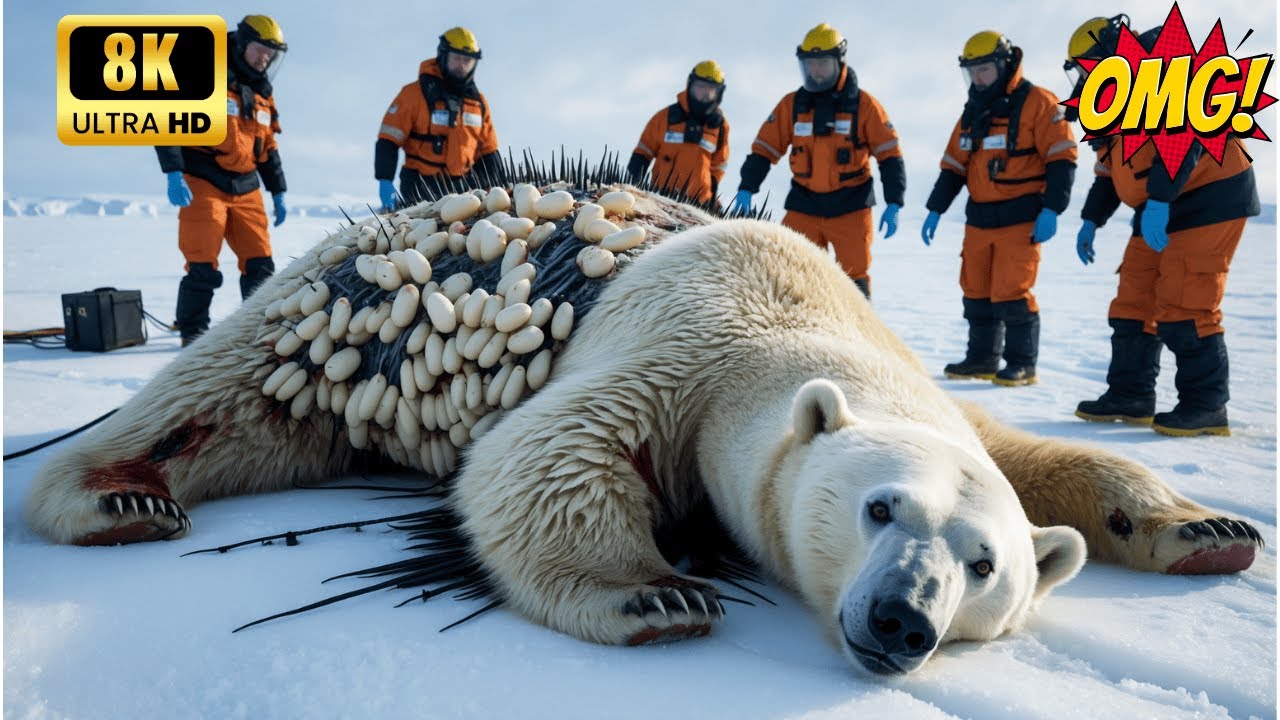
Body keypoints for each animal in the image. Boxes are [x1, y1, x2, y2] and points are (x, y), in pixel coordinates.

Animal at [22, 177, 1263, 677]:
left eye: (982, 563)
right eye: (877, 508)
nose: (900, 620)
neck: (798, 311)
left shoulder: (926, 394)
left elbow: (1036, 458)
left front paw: (1205, 530)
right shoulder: (684, 347)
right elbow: (535, 459)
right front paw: (654, 594)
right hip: (334, 305)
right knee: (225, 396)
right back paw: (115, 494)